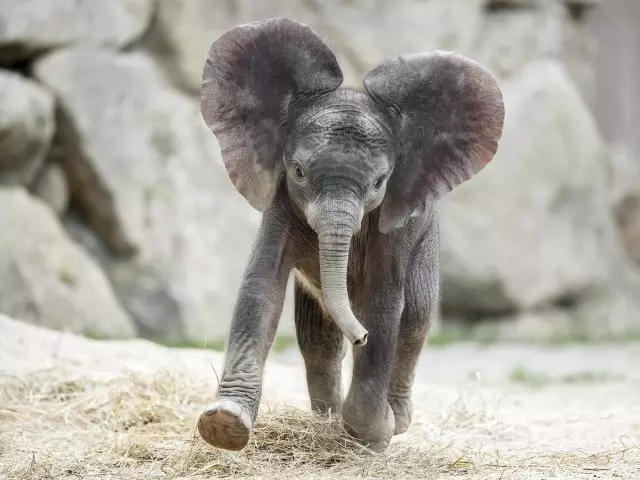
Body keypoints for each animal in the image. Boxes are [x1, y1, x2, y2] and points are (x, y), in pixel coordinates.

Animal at [196, 16, 504, 452]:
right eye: (299, 172)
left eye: (379, 182)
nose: (359, 337)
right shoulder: (281, 200)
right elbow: (261, 289)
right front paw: (225, 424)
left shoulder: (398, 226)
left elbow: (384, 305)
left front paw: (376, 434)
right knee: (317, 338)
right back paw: (325, 421)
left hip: (426, 239)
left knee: (416, 316)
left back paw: (396, 419)